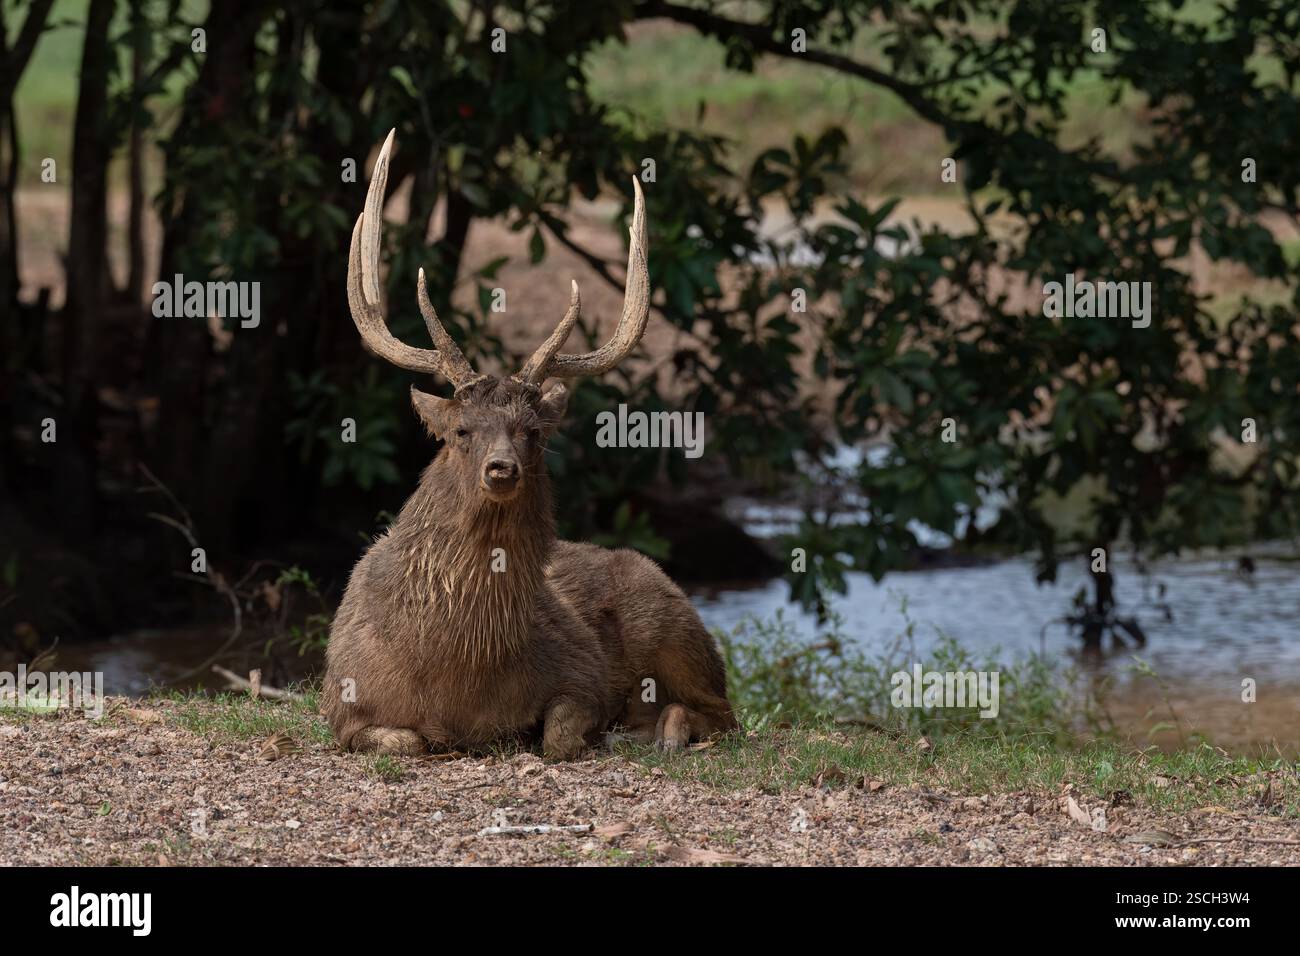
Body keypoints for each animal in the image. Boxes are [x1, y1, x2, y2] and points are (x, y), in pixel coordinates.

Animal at [321, 131, 737, 760]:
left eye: (534, 432)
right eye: (461, 431)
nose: (502, 468)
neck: (453, 678)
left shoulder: (581, 669)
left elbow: (560, 735)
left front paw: (591, 731)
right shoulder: (341, 703)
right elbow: (405, 741)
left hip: (676, 624)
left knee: (722, 713)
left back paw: (658, 730)